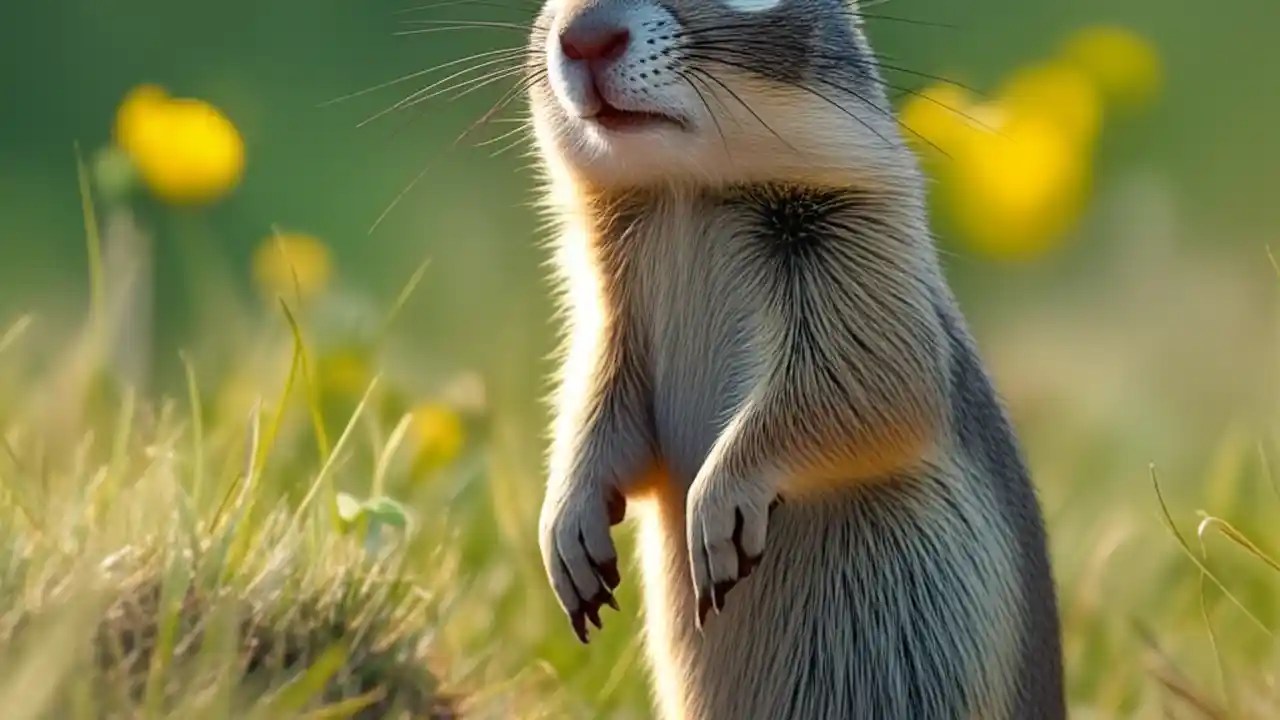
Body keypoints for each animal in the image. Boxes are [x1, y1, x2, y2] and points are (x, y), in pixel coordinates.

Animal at [524, 0, 1066, 717]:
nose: (585, 37)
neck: (685, 191)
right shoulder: (608, 322)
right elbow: (593, 404)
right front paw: (567, 523)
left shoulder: (866, 278)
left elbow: (865, 393)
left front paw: (719, 504)